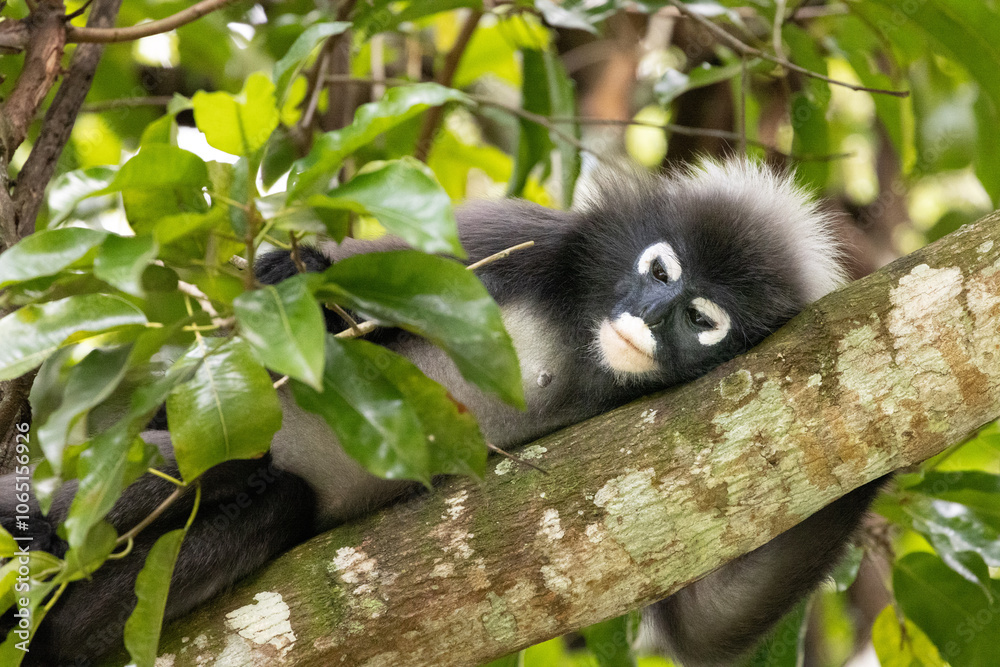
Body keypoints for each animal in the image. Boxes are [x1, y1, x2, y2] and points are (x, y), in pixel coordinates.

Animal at [1, 159, 883, 665]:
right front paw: (295, 271)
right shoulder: (514, 237)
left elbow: (699, 626)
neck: (577, 341)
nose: (650, 315)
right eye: (659, 270)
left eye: (699, 316)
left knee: (269, 499)